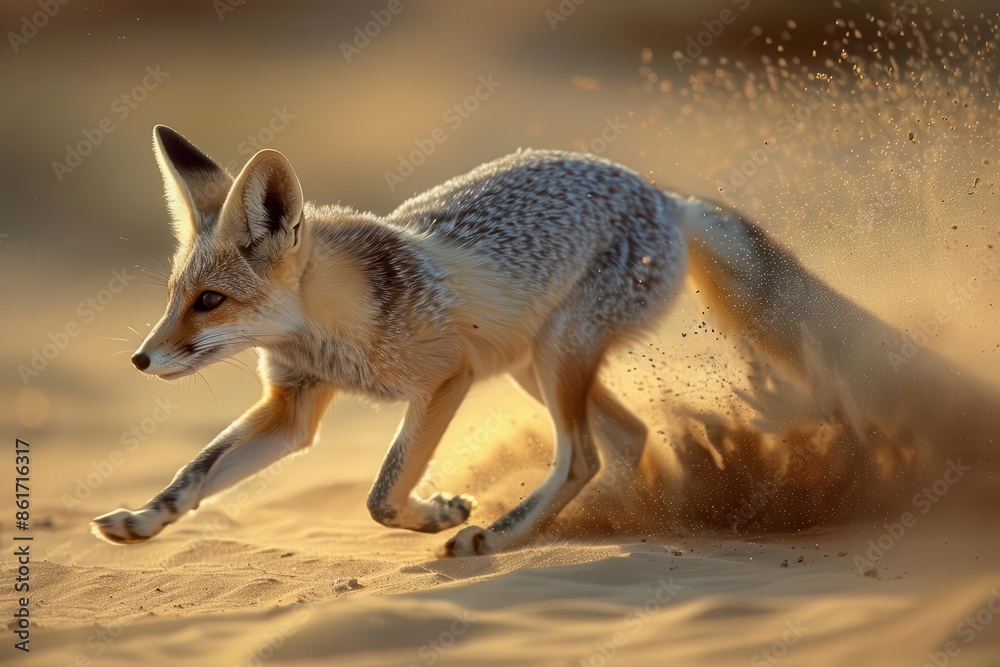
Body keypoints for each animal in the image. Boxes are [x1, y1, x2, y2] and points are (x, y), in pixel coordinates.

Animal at [91, 125, 998, 555]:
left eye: (210, 301)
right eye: (174, 297)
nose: (140, 358)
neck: (339, 324)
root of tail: (665, 196)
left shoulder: (445, 380)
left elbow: (381, 493)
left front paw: (438, 511)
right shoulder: (294, 406)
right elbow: (192, 476)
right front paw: (141, 522)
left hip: (554, 357)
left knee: (587, 452)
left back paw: (502, 533)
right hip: (538, 365)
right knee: (627, 439)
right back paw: (619, 519)